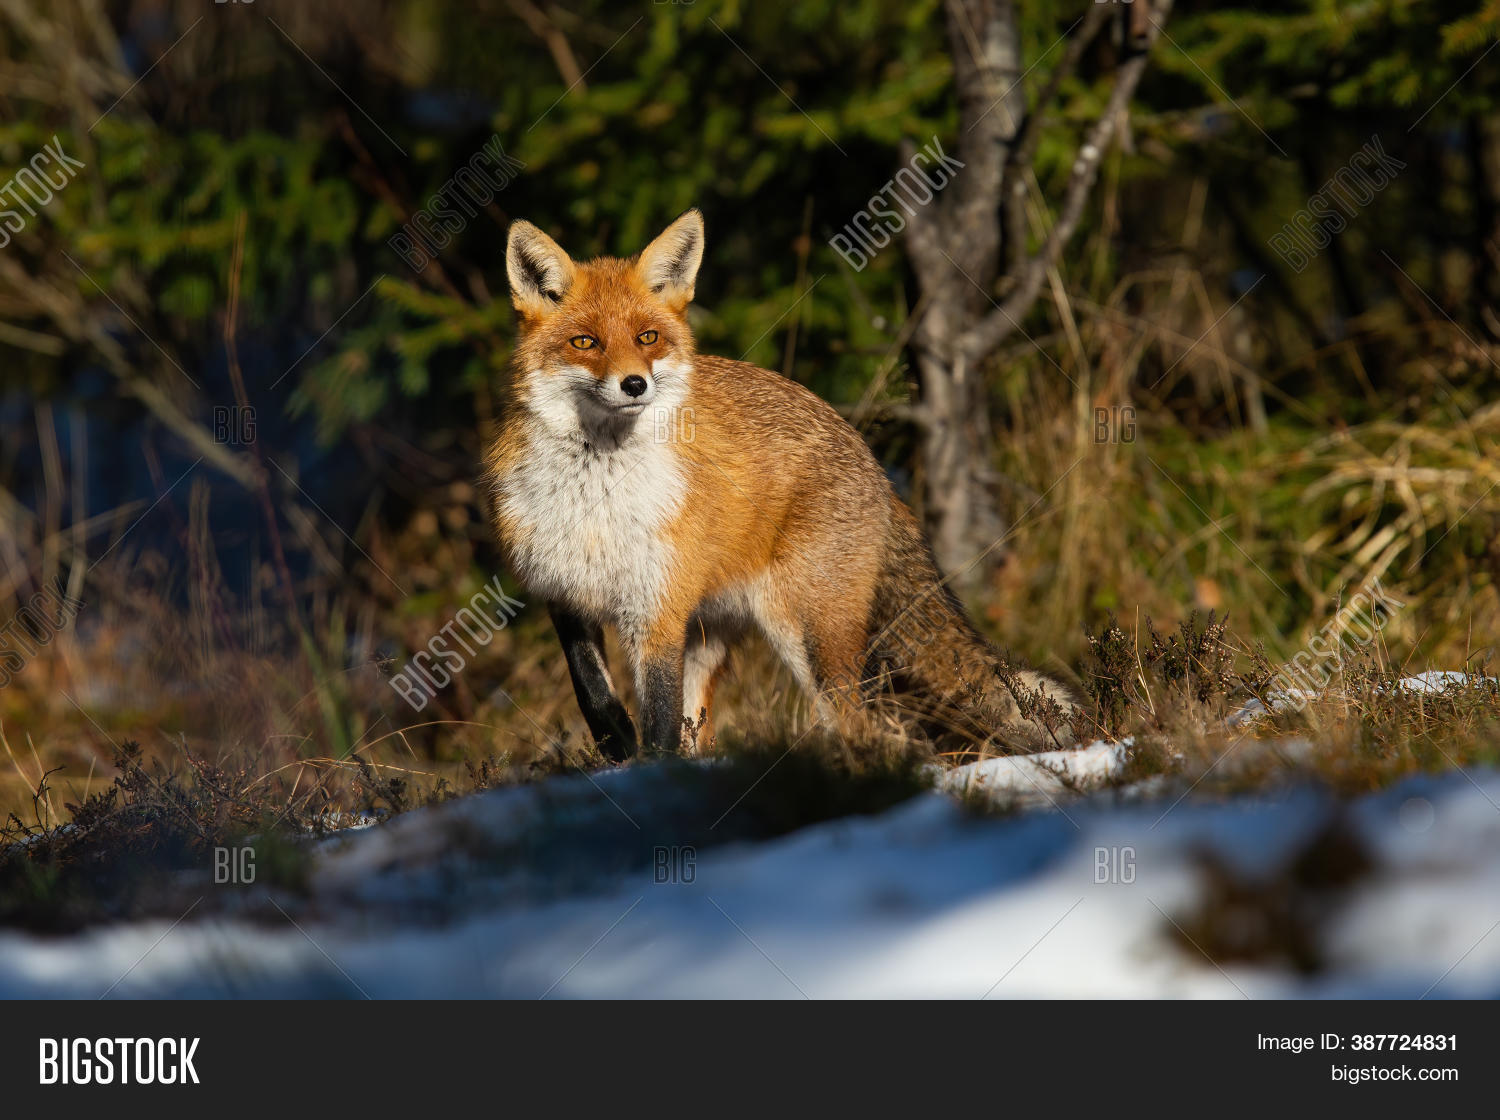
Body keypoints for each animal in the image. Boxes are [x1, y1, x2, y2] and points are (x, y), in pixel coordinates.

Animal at [484, 209, 1076, 760]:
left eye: (646, 337)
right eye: (584, 342)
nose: (634, 384)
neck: (597, 500)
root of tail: (877, 468)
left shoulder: (658, 613)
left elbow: (659, 725)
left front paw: (649, 771)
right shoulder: (566, 598)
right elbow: (596, 698)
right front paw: (620, 752)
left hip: (806, 634)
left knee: (863, 725)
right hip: (711, 636)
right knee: (703, 730)